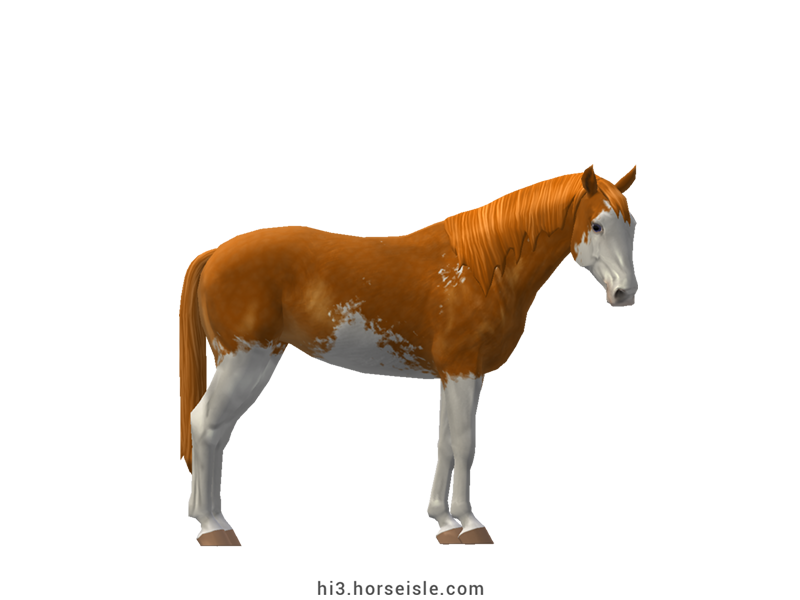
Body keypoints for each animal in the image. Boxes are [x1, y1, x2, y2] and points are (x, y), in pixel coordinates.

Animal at [179, 164, 638, 537]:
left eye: (627, 223)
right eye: (597, 225)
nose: (624, 292)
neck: (480, 270)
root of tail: (216, 254)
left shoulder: (457, 373)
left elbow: (447, 442)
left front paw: (440, 518)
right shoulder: (460, 369)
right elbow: (465, 441)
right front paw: (468, 520)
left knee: (210, 429)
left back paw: (211, 518)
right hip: (241, 361)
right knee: (202, 424)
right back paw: (207, 524)